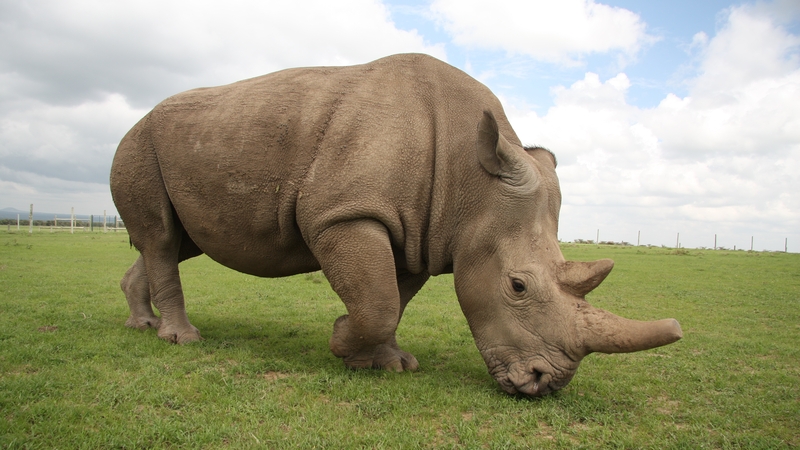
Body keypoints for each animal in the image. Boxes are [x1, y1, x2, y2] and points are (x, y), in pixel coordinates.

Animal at [110, 53, 681, 396]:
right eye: (518, 286)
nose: (545, 384)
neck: (470, 178)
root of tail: (136, 120)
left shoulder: (422, 233)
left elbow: (392, 297)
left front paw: (386, 365)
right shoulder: (344, 212)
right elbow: (378, 300)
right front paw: (343, 341)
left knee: (178, 243)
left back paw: (141, 325)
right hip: (140, 142)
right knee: (161, 237)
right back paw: (183, 340)